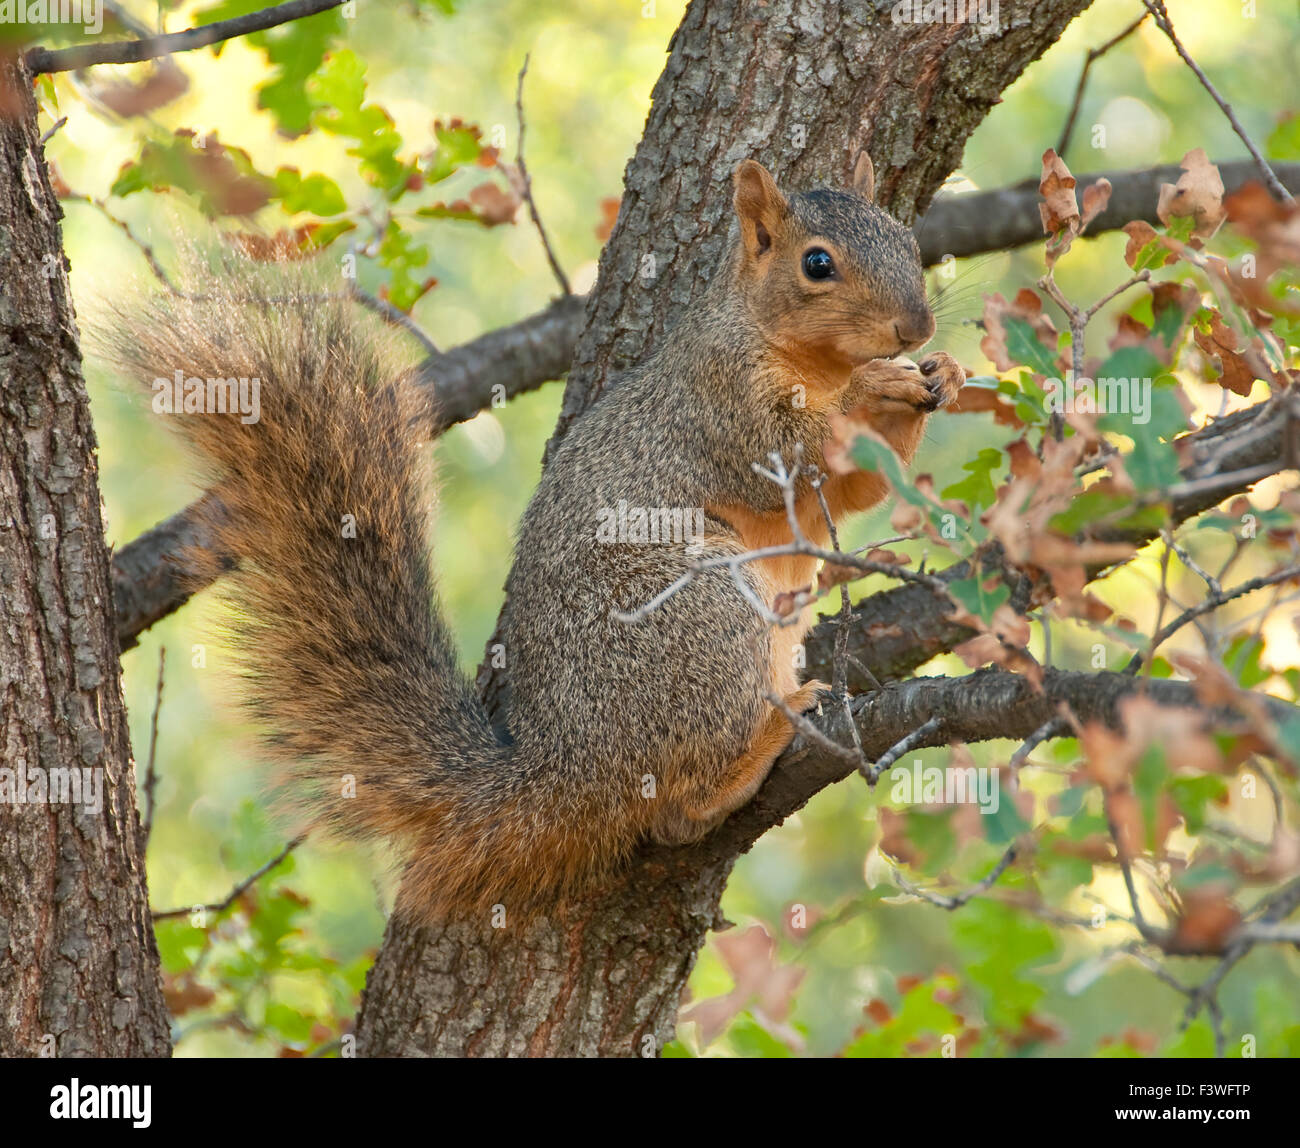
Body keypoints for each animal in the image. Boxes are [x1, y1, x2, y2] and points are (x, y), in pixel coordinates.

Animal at [106, 154, 965, 922]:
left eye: (905, 235)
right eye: (817, 263)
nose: (917, 327)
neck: (803, 355)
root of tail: (565, 771)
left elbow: (855, 492)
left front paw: (942, 376)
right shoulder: (717, 405)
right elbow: (786, 459)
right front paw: (875, 386)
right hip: (698, 617)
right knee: (679, 806)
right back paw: (760, 744)